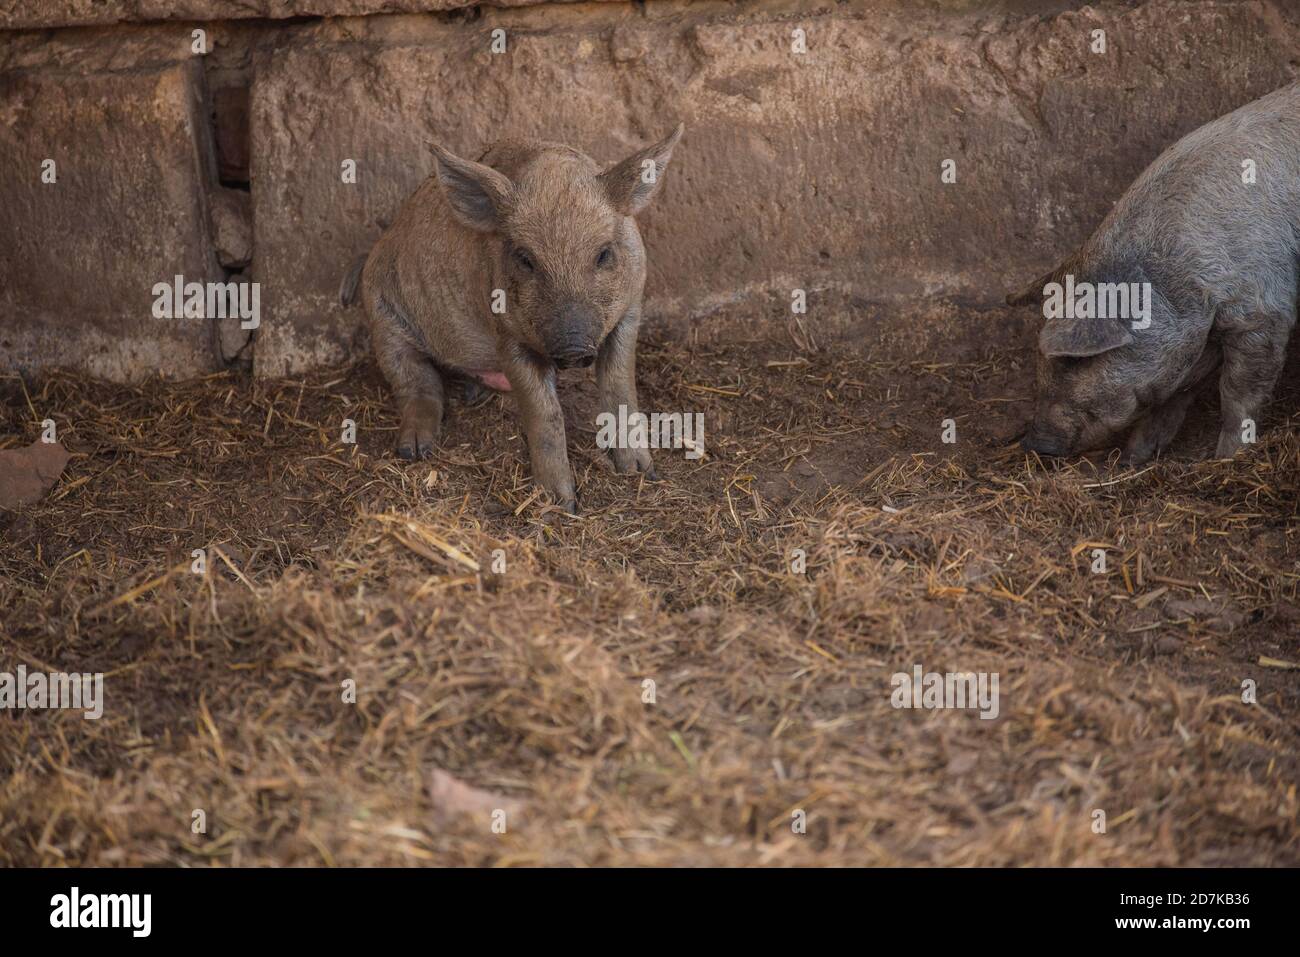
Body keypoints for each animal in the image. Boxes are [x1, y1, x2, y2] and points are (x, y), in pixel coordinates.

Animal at [340, 126, 684, 513]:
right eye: (525, 258)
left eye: (604, 253)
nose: (573, 349)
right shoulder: (505, 334)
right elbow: (545, 412)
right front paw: (561, 505)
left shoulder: (630, 309)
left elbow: (620, 385)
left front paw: (642, 472)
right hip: (382, 320)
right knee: (415, 380)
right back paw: (414, 449)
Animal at [1009, 82, 1300, 464]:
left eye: (1075, 363)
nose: (1034, 444)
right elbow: (1173, 397)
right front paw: (1132, 461)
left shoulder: (1262, 308)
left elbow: (1238, 393)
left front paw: (1225, 458)